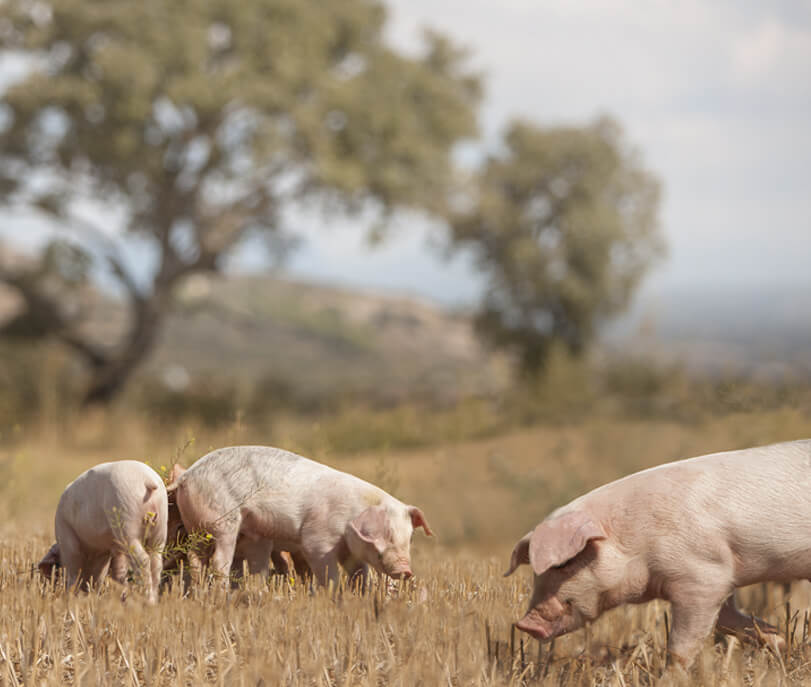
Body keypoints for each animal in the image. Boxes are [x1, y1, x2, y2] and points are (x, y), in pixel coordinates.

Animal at [38, 460, 168, 604]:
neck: (91, 551)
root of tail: (147, 480)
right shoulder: (105, 551)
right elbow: (102, 574)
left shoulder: (68, 541)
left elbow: (74, 572)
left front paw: (70, 596)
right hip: (161, 526)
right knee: (156, 562)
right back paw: (154, 600)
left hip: (127, 520)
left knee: (143, 560)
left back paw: (148, 600)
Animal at [166, 445, 432, 588]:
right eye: (382, 538)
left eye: (409, 538)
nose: (406, 570)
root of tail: (186, 476)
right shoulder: (317, 540)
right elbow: (326, 569)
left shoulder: (351, 552)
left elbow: (360, 574)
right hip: (221, 523)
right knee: (220, 560)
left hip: (202, 528)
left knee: (197, 558)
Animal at [505, 440, 811, 669]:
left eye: (564, 563)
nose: (524, 624)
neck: (636, 545)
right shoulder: (721, 580)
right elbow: (728, 620)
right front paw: (783, 643)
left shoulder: (703, 576)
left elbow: (682, 645)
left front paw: (671, 675)